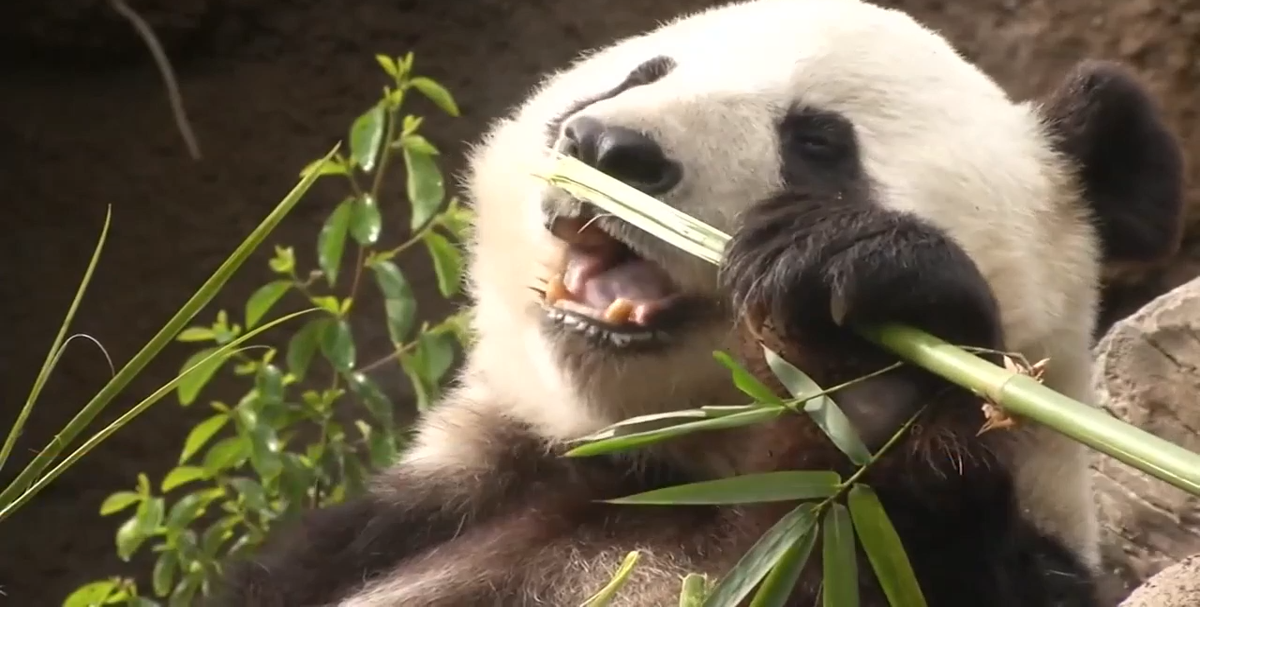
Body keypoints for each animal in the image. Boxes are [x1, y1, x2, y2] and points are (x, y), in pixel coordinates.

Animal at [214, 0, 1184, 607]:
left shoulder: (952, 549)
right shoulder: (413, 520)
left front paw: (863, 320)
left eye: (818, 142)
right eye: (636, 74)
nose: (612, 147)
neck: (664, 466)